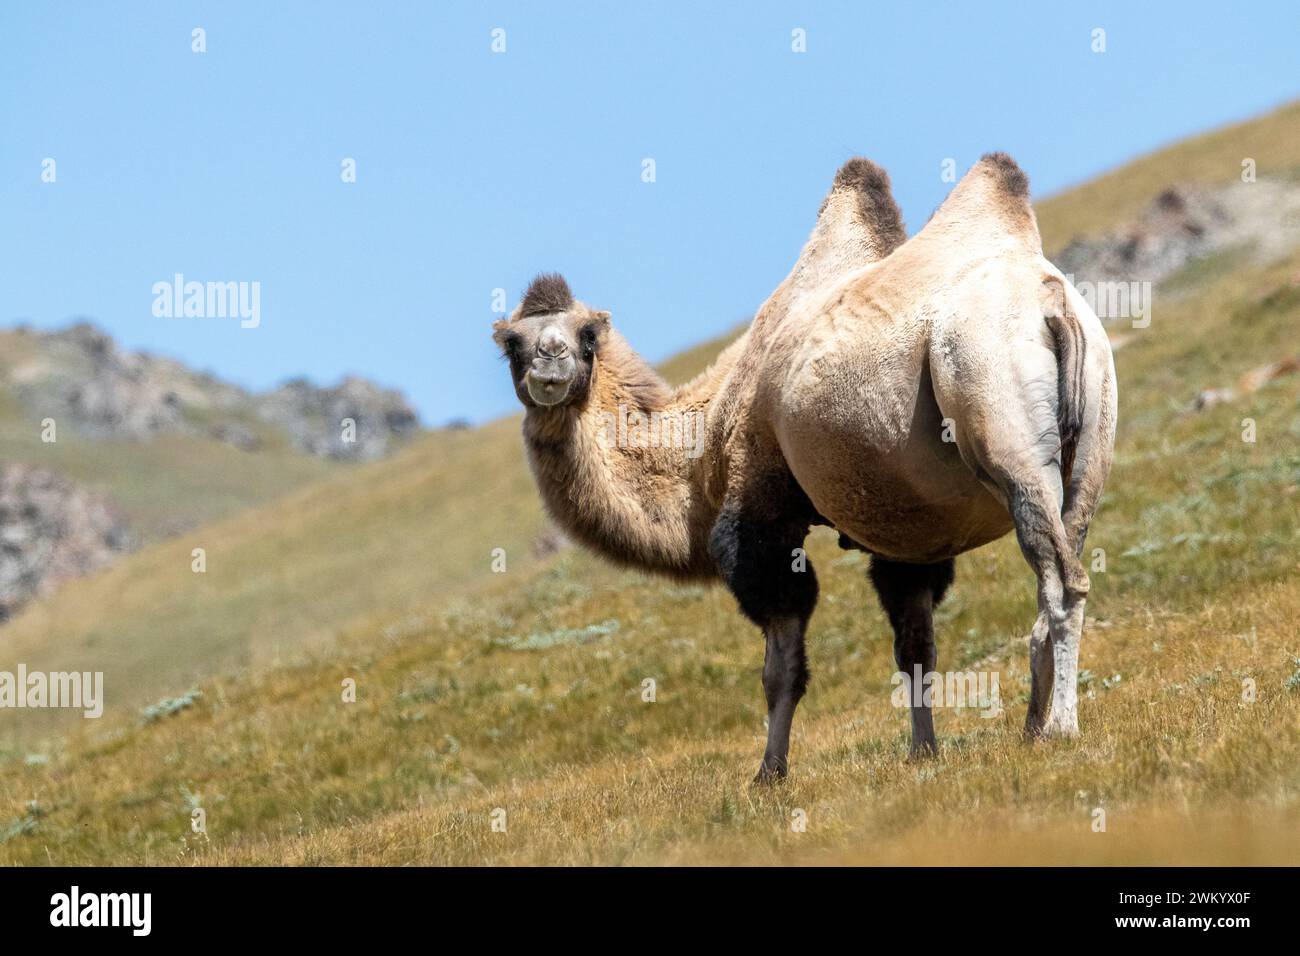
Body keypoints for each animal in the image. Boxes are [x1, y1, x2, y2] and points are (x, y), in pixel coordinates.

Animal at [493, 154, 1117, 781]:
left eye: (586, 335)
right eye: (511, 342)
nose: (550, 363)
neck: (706, 436)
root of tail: (1053, 306)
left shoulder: (760, 514)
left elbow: (782, 668)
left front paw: (769, 773)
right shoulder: (906, 533)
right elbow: (916, 647)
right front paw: (923, 751)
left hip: (1000, 417)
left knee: (1061, 580)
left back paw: (1060, 728)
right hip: (1091, 443)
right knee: (1066, 559)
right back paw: (1032, 725)